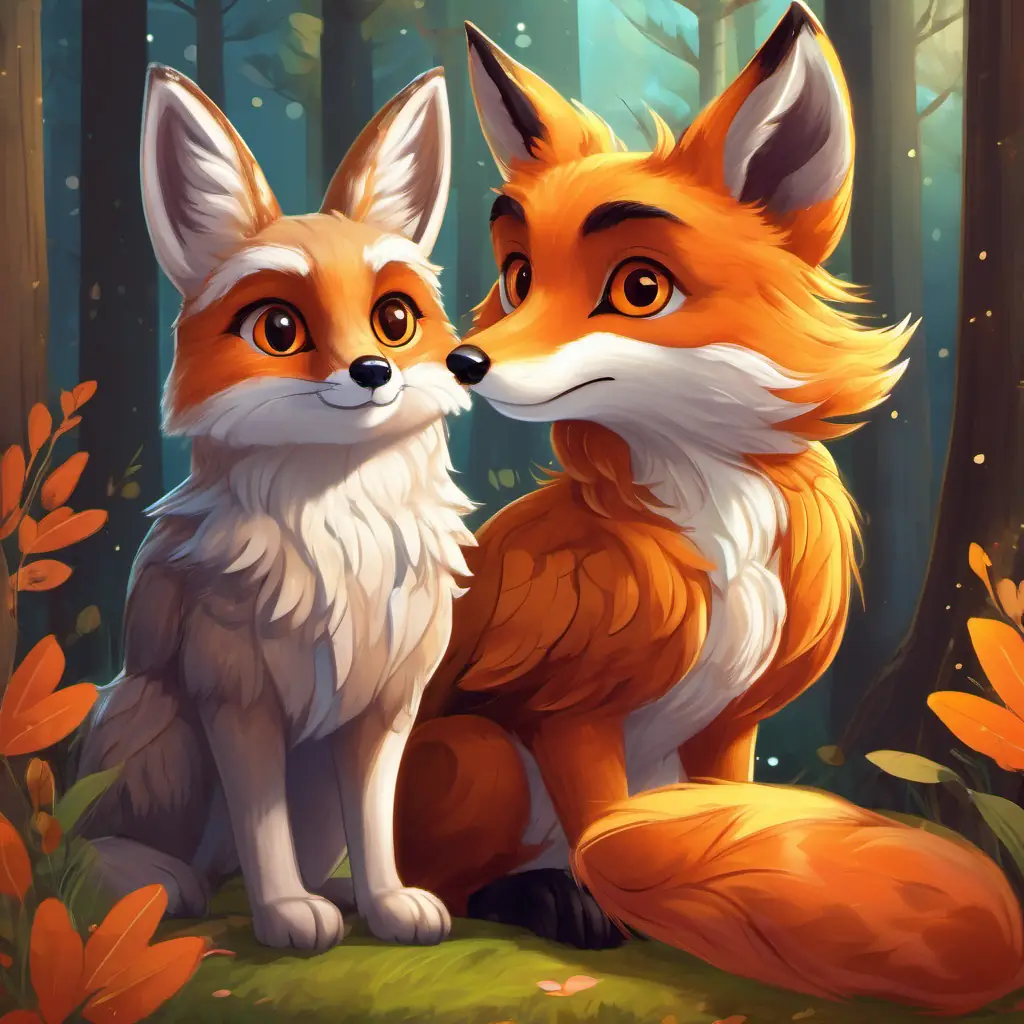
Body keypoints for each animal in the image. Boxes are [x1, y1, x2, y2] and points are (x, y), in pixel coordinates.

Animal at [75, 64, 475, 951]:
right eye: (280, 329)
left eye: (394, 320)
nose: (372, 371)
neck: (340, 512)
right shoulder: (233, 695)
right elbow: (263, 825)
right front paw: (288, 916)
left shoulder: (385, 702)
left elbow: (375, 818)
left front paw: (389, 904)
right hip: (155, 720)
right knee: (92, 846)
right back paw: (158, 880)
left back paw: (341, 893)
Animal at [391, 3, 1024, 1014]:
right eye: (520, 277)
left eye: (640, 288)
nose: (463, 361)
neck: (712, 517)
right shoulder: (569, 709)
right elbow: (609, 833)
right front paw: (610, 900)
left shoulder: (731, 718)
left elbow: (702, 809)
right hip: (480, 755)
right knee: (441, 889)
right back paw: (538, 896)